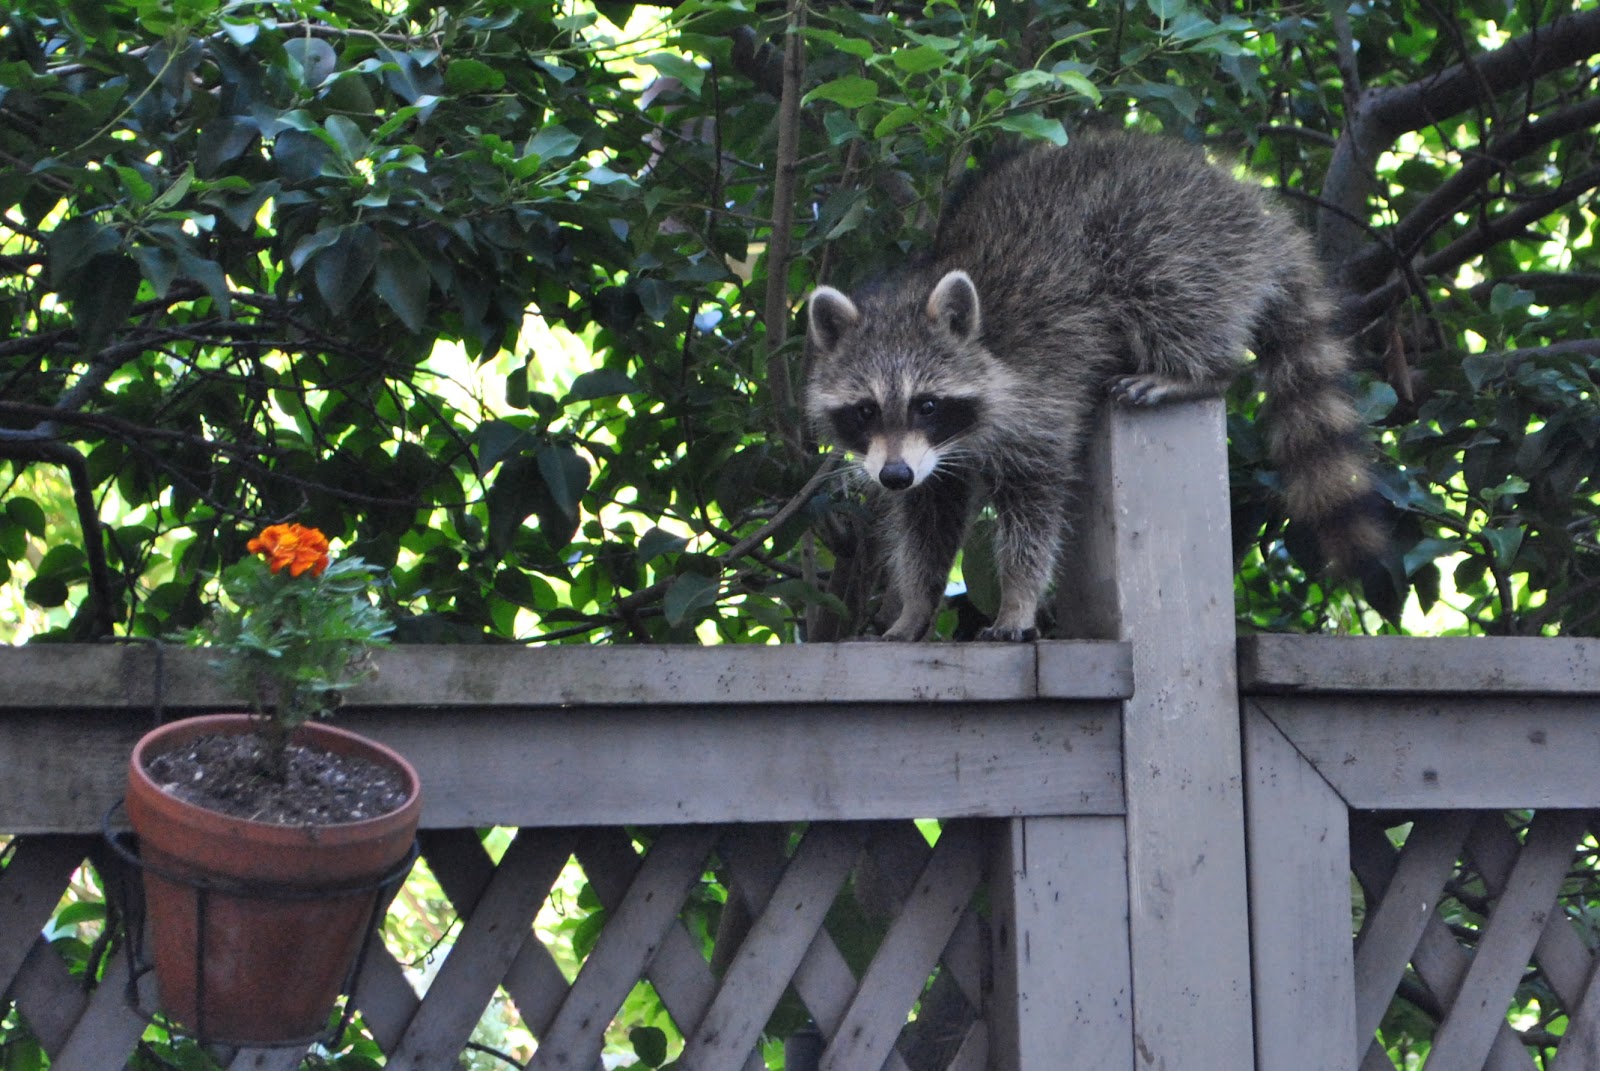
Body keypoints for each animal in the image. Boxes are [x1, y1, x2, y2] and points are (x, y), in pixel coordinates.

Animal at [805, 132, 1384, 641]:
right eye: (865, 410)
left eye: (926, 404)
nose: (894, 476)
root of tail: (1250, 201)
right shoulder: (927, 458)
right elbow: (928, 519)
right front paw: (916, 604)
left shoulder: (1039, 394)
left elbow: (1034, 509)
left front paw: (1018, 600)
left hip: (1177, 232)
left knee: (1163, 281)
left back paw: (1195, 372)